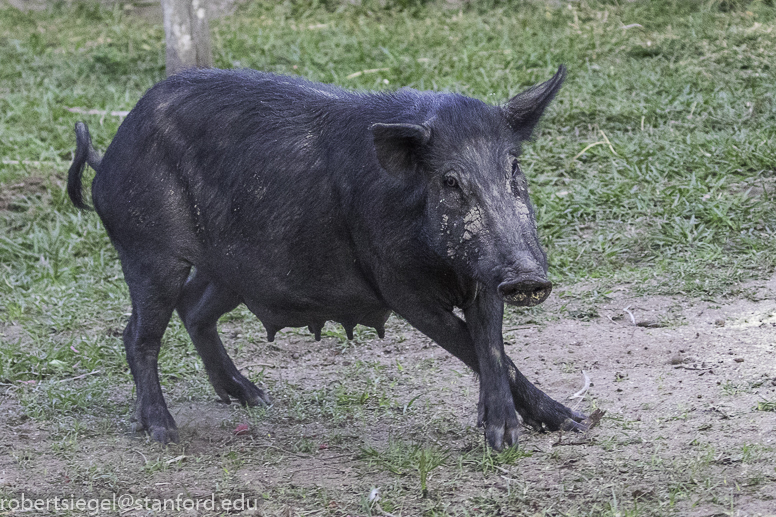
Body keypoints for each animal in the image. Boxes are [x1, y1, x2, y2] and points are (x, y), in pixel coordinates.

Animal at [67, 67, 587, 450]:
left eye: (514, 167)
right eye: (450, 181)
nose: (527, 278)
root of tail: (109, 157)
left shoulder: (484, 276)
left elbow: (491, 345)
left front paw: (571, 422)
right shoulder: (397, 286)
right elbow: (468, 345)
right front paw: (507, 439)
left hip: (232, 270)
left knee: (193, 308)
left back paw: (254, 399)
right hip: (149, 251)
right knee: (138, 334)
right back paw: (162, 432)